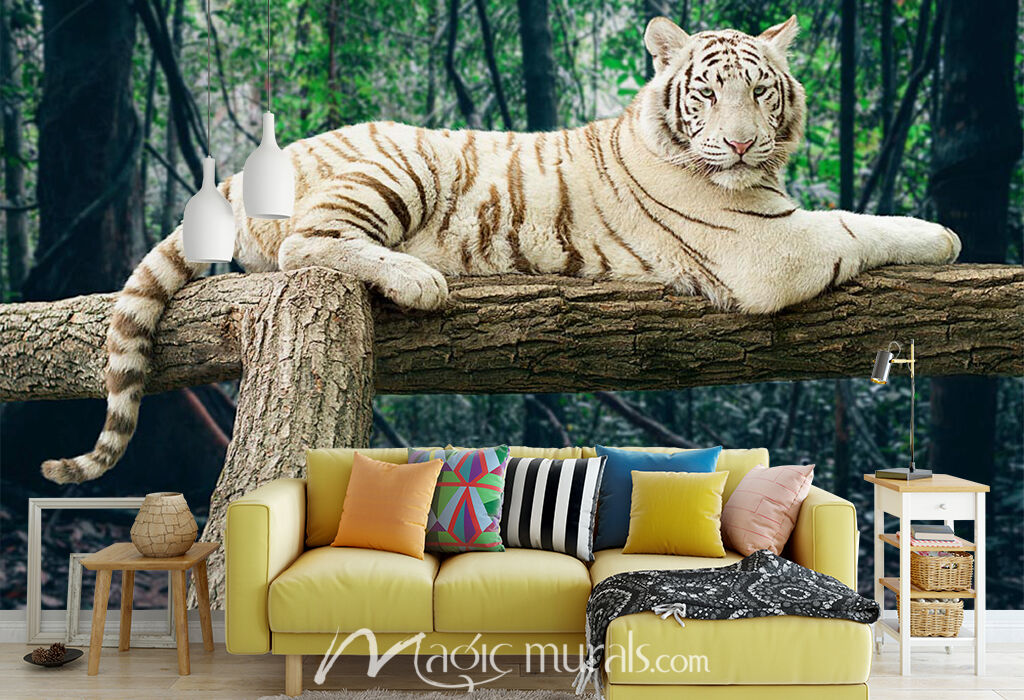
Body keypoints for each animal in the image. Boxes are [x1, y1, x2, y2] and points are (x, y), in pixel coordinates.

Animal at [41, 15, 960, 484]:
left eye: (762, 91)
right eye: (707, 93)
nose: (738, 145)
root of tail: (251, 169)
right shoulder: (768, 244)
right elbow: (858, 223)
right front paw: (946, 234)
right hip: (396, 166)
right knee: (306, 245)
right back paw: (418, 279)